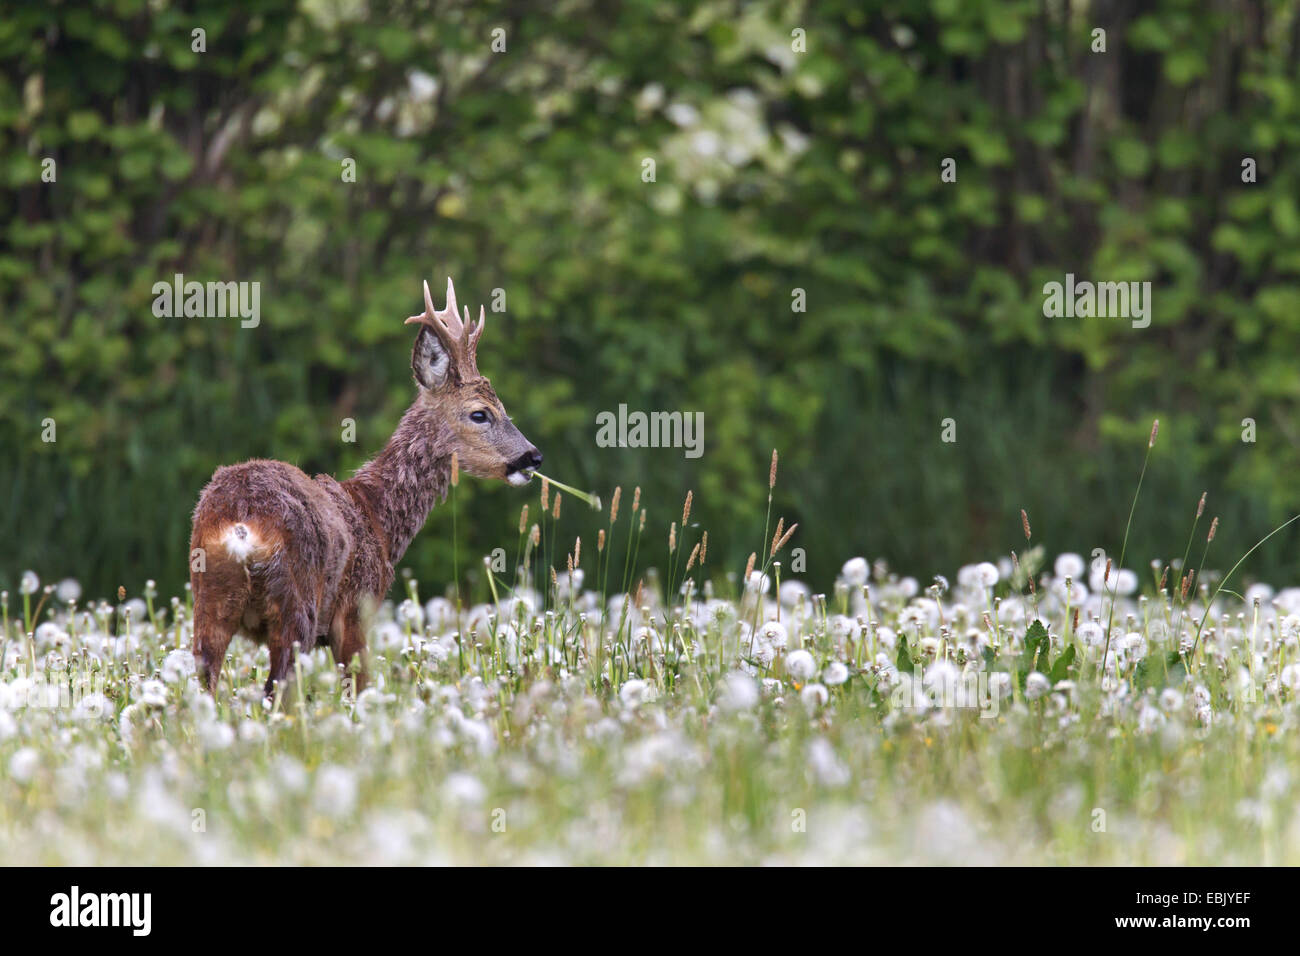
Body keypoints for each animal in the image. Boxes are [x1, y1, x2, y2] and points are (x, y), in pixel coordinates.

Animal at [188, 277, 542, 698]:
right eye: (480, 413)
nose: (532, 457)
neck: (378, 518)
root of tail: (240, 525)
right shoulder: (356, 611)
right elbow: (358, 688)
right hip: (297, 608)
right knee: (278, 691)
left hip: (207, 602)